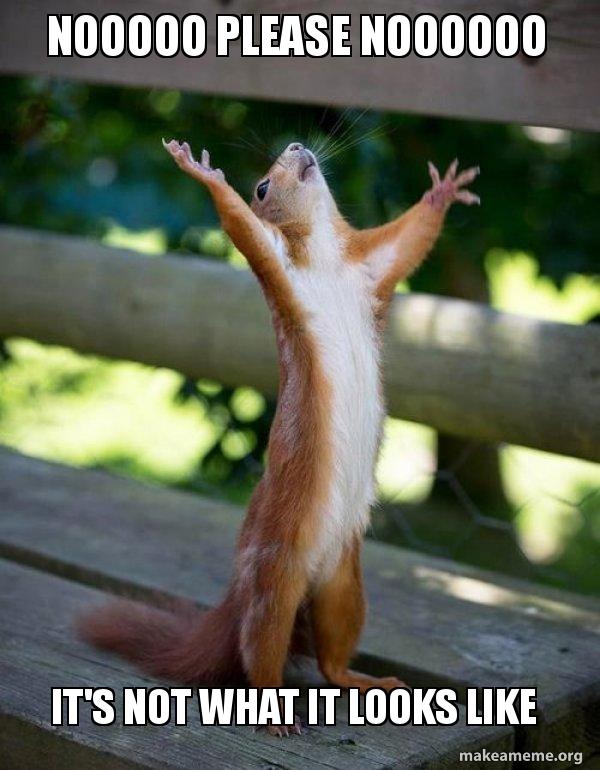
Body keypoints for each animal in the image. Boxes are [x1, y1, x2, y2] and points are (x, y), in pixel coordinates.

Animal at [79, 138, 479, 736]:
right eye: (262, 186)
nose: (296, 146)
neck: (327, 259)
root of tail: (241, 592)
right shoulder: (278, 266)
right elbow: (242, 227)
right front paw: (204, 173)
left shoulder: (371, 267)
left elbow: (408, 241)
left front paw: (443, 191)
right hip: (274, 579)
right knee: (260, 650)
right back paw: (273, 713)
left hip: (344, 585)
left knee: (332, 657)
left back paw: (364, 681)